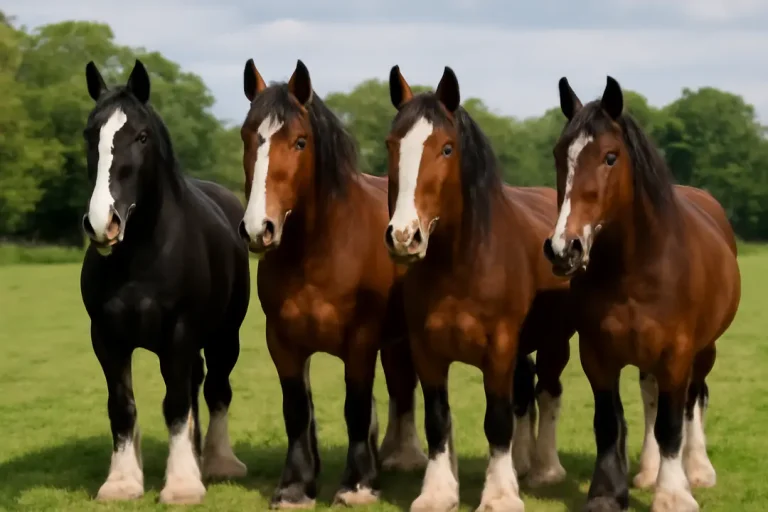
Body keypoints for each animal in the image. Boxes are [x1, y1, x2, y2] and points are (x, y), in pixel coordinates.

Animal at [79, 60, 250, 505]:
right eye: (90, 135)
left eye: (141, 136)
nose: (102, 223)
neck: (142, 256)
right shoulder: (107, 338)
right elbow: (122, 406)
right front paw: (122, 481)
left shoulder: (179, 332)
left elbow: (175, 404)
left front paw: (182, 485)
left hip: (225, 336)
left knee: (215, 389)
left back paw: (218, 462)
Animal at [237, 59, 427, 508]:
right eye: (247, 137)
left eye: (300, 141)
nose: (258, 228)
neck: (319, 250)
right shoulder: (283, 342)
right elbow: (296, 410)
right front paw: (295, 486)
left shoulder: (360, 341)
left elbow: (355, 406)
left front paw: (357, 485)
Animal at [384, 65, 576, 512]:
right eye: (392, 144)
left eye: (446, 148)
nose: (404, 236)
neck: (462, 265)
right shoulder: (427, 349)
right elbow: (438, 418)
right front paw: (437, 492)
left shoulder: (500, 346)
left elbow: (498, 419)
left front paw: (501, 495)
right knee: (524, 393)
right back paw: (522, 464)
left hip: (555, 341)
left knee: (548, 392)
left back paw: (544, 469)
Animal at [543, 76, 741, 512]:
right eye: (560, 153)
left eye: (610, 157)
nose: (564, 248)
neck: (637, 268)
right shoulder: (597, 354)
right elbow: (609, 421)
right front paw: (607, 493)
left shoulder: (677, 354)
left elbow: (672, 423)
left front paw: (673, 494)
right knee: (651, 397)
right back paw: (649, 472)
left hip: (704, 351)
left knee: (692, 402)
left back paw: (696, 470)